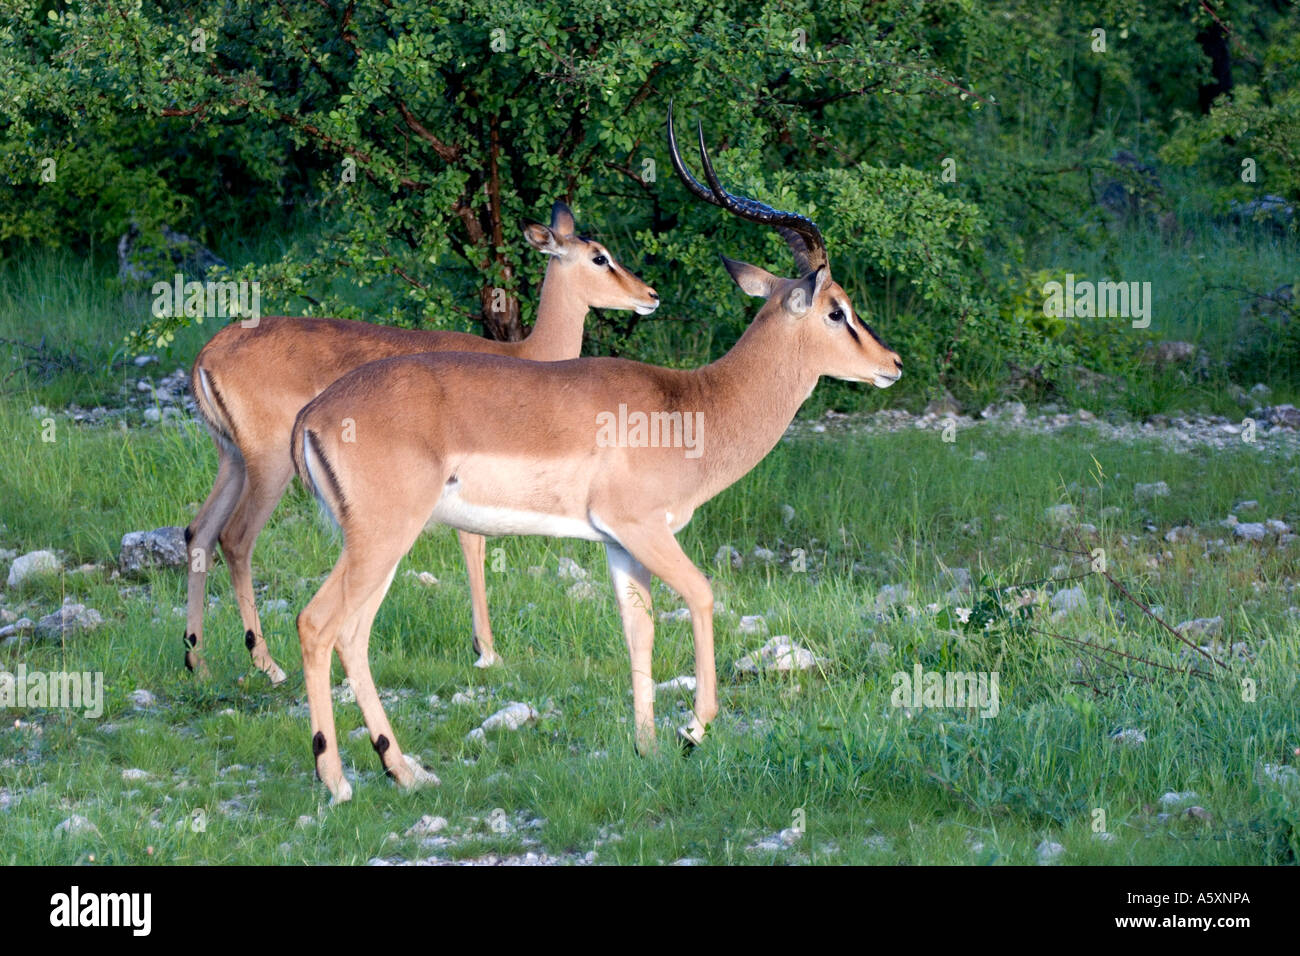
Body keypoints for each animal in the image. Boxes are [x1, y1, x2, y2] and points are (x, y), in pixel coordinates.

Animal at [184, 203, 658, 682]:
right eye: (600, 257)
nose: (651, 294)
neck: (526, 355)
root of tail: (208, 353)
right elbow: (474, 546)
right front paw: (487, 650)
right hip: (270, 467)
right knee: (236, 539)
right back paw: (268, 663)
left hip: (234, 461)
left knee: (199, 531)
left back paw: (197, 660)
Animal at [290, 112, 903, 802]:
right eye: (837, 310)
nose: (892, 363)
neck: (692, 407)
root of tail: (315, 412)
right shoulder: (644, 527)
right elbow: (702, 595)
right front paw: (693, 730)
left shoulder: (617, 543)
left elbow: (640, 633)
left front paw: (648, 749)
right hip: (382, 537)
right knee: (318, 624)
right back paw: (337, 782)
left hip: (385, 543)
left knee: (352, 634)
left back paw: (406, 770)